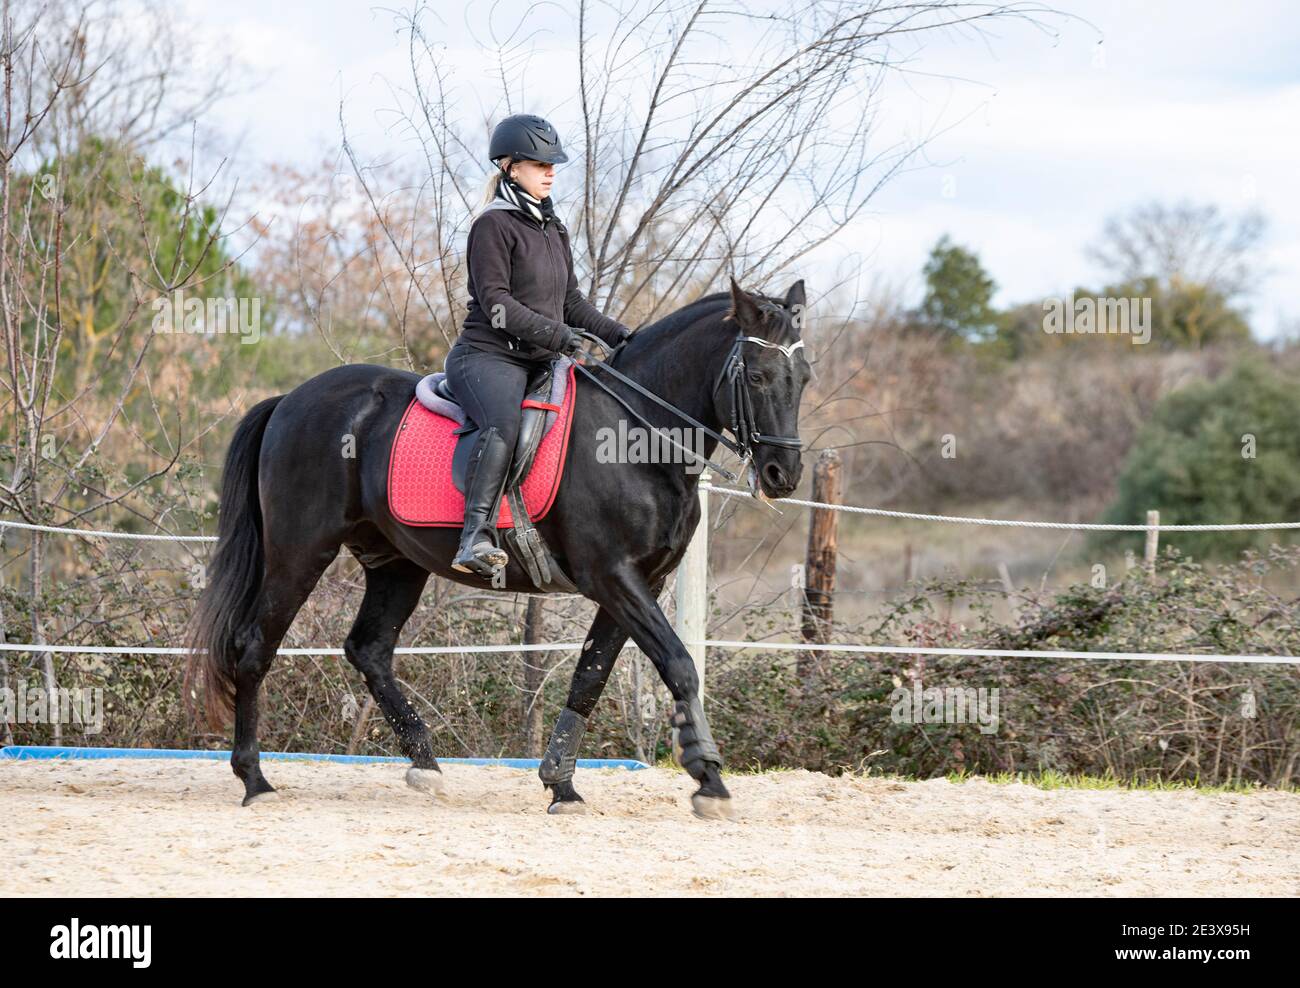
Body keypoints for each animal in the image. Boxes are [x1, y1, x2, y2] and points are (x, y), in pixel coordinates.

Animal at [186, 277, 811, 818]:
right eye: (757, 376)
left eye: (803, 377)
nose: (783, 474)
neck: (638, 438)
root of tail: (291, 399)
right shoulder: (614, 577)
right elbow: (679, 664)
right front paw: (708, 777)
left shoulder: (640, 583)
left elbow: (590, 678)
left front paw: (562, 785)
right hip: (300, 553)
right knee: (253, 646)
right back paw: (254, 779)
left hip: (396, 563)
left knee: (369, 649)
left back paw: (426, 765)